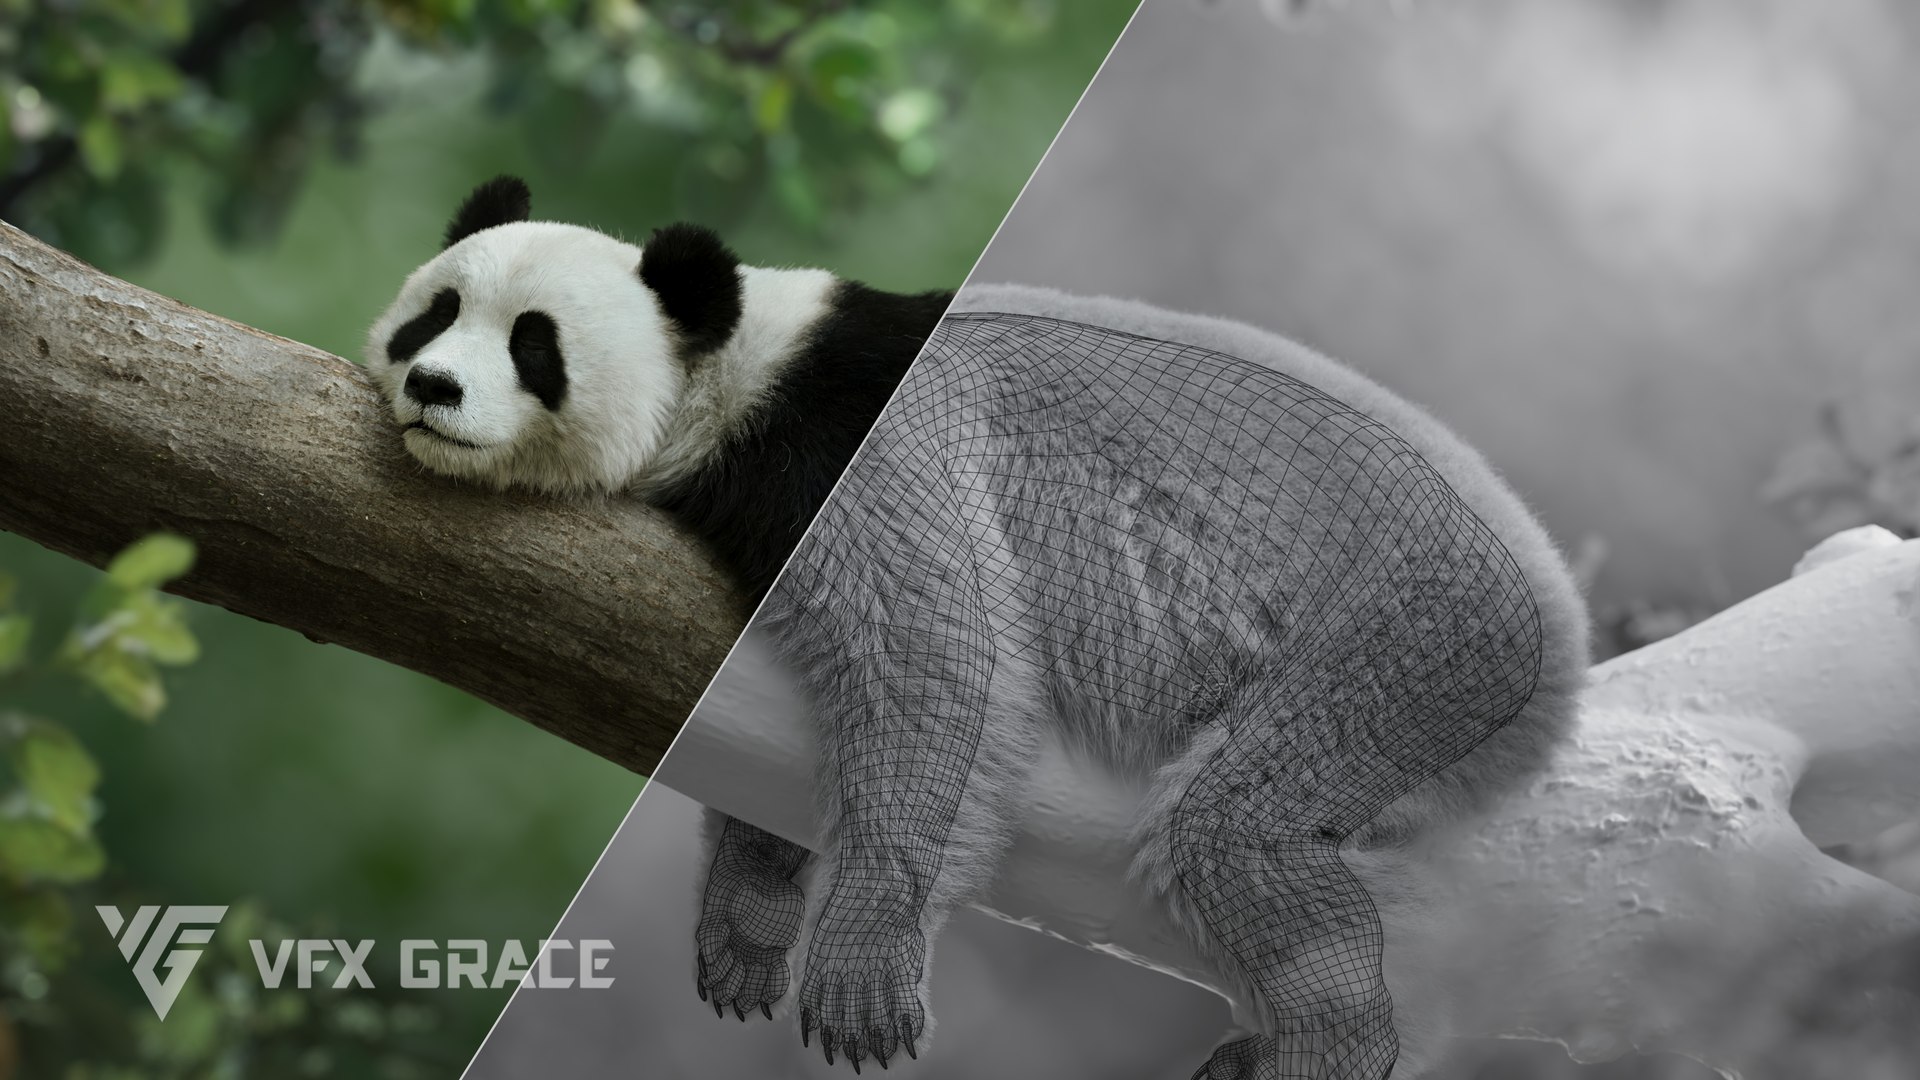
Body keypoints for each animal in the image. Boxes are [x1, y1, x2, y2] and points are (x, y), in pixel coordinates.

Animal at [689, 286, 1591, 1079]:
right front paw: (754, 890)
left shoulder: (863, 451)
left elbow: (937, 643)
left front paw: (870, 923)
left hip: (1436, 636)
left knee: (1228, 829)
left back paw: (1337, 1037)